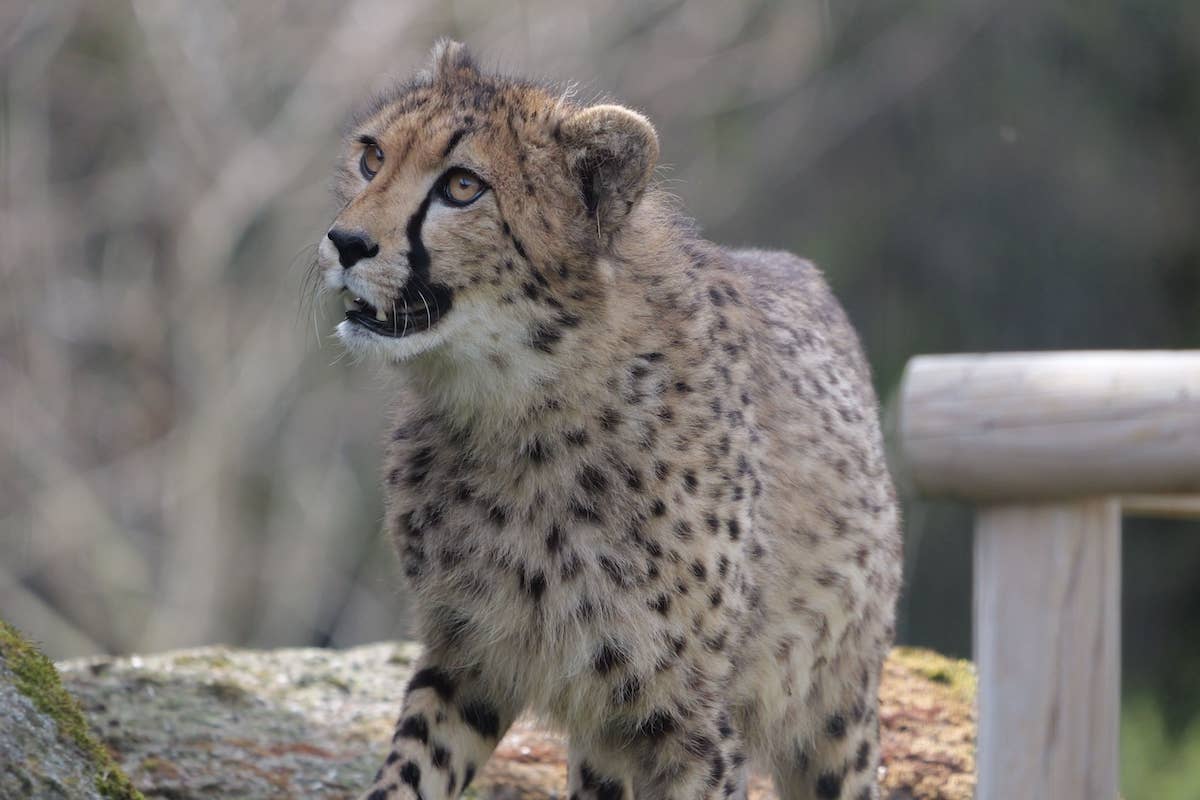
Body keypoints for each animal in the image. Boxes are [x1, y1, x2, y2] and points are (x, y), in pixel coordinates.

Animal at [311, 40, 902, 800]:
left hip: (833, 706)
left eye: (463, 186)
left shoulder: (691, 717)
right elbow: (407, 775)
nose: (345, 241)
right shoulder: (469, 657)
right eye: (373, 156)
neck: (515, 410)